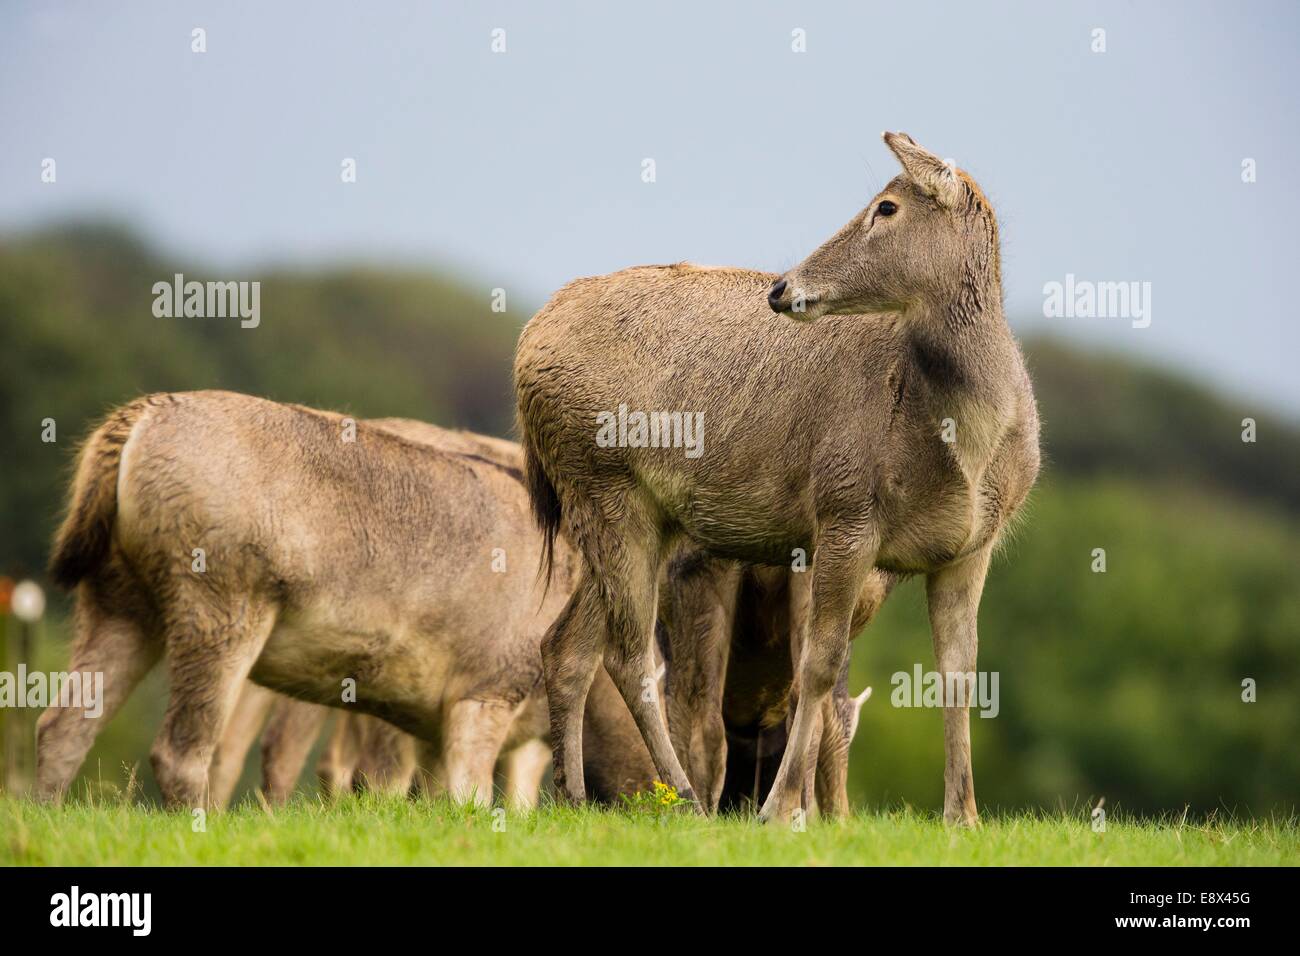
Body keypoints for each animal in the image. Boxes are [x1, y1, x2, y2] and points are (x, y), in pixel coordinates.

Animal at [514, 132, 1040, 824]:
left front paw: (964, 816)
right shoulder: (844, 513)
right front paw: (781, 810)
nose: (783, 287)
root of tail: (527, 342)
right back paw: (685, 798)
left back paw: (574, 797)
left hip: (639, 515)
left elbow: (958, 673)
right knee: (633, 660)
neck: (967, 443)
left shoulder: (972, 546)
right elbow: (816, 667)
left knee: (567, 645)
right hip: (603, 487)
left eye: (888, 207)